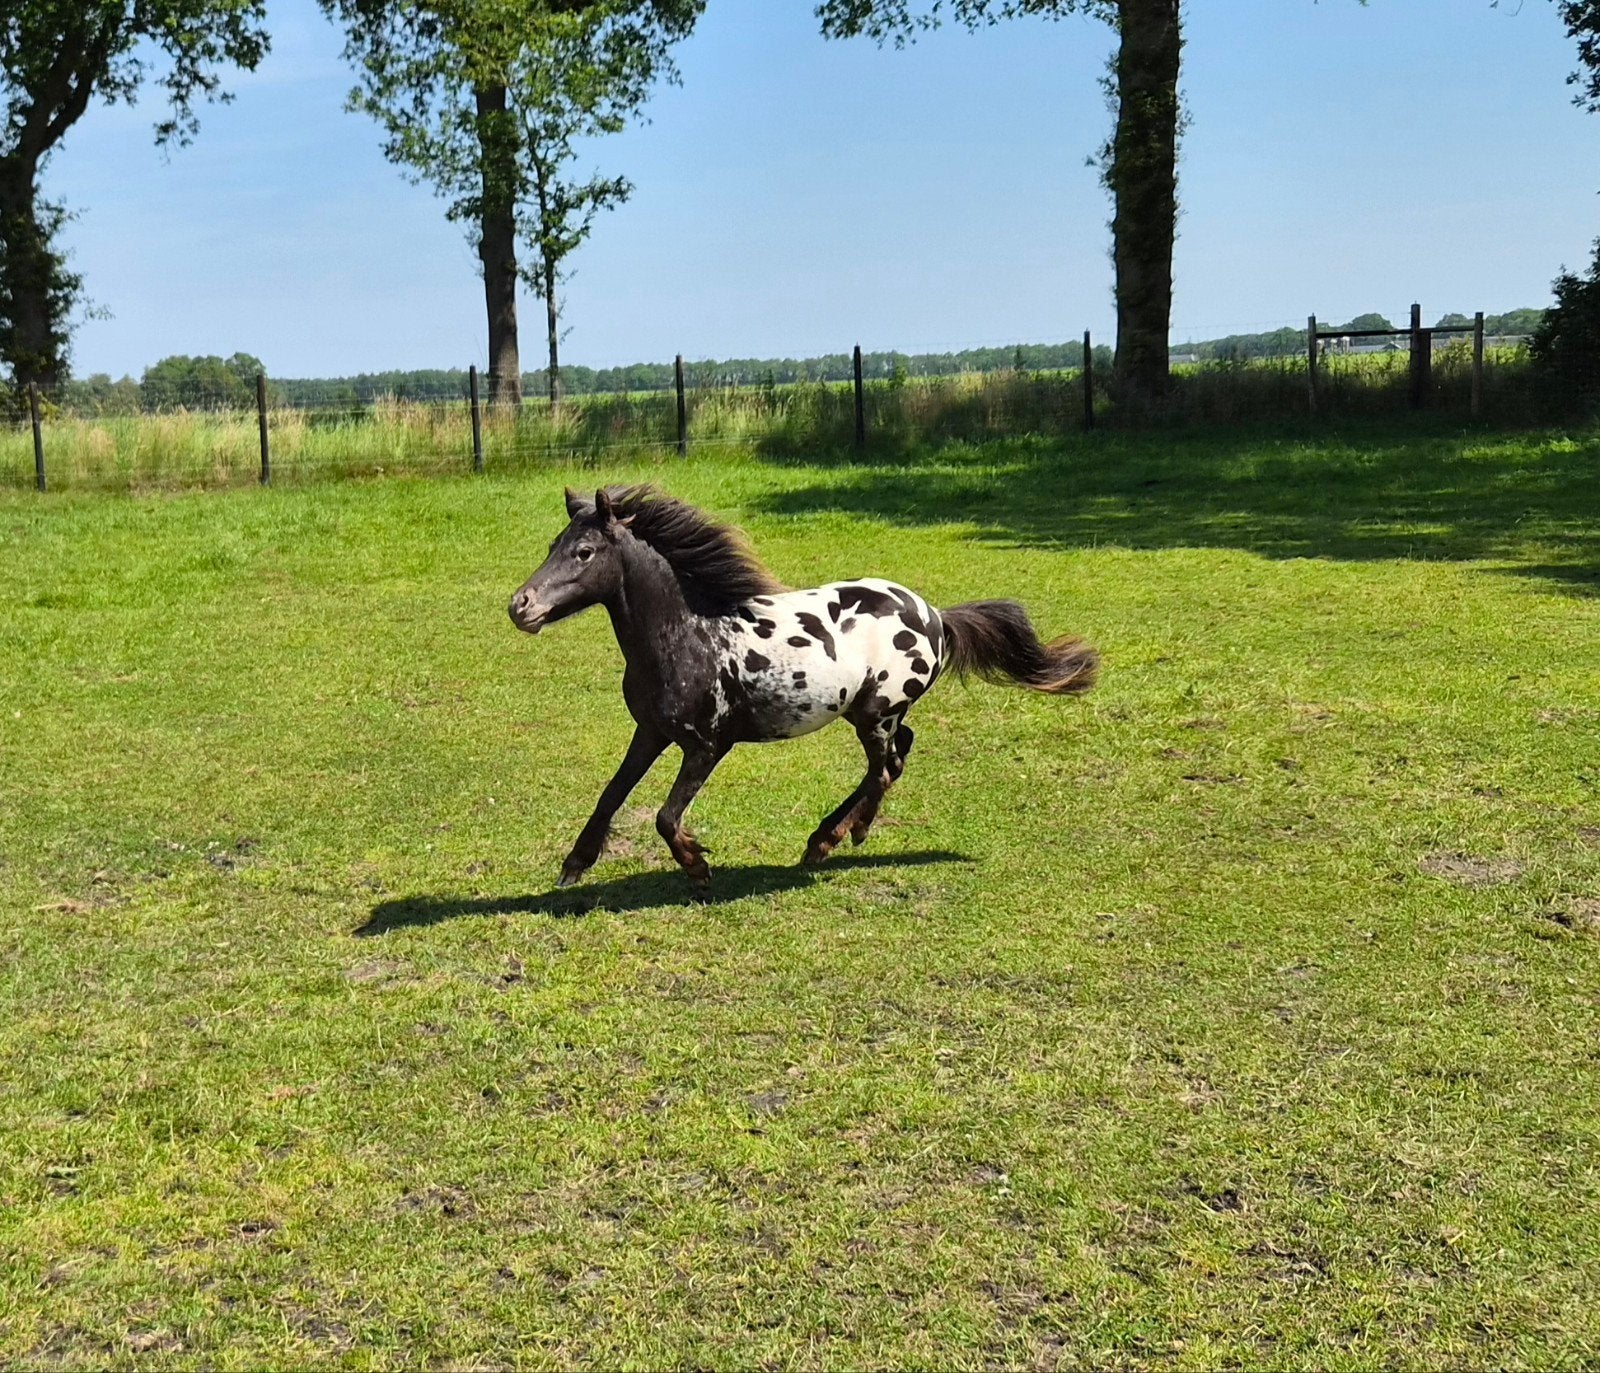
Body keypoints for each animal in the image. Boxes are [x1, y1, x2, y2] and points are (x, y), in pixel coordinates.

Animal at [508, 485, 1098, 890]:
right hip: (877, 713)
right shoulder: (651, 731)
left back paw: (829, 840)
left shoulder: (706, 745)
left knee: (883, 768)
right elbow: (612, 794)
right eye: (554, 543)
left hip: (876, 713)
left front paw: (697, 866)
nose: (520, 606)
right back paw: (838, 835)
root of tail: (935, 615)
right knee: (897, 758)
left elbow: (666, 816)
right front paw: (574, 865)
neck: (688, 634)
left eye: (584, 552)